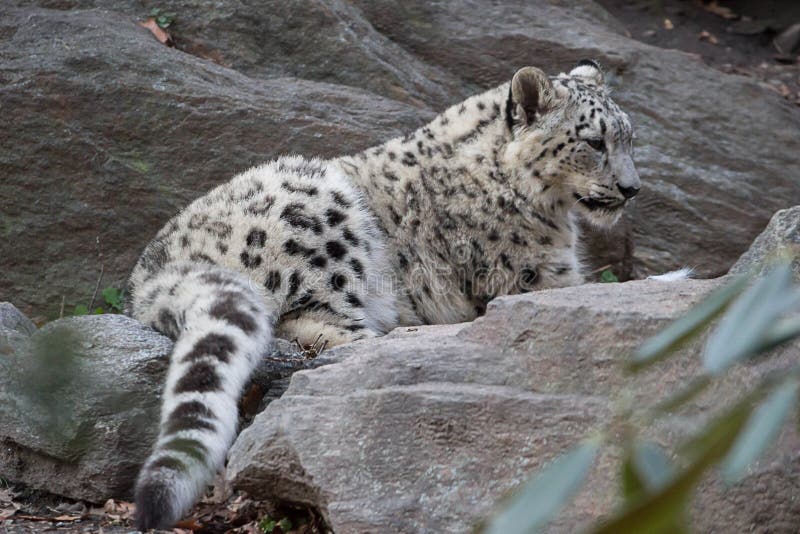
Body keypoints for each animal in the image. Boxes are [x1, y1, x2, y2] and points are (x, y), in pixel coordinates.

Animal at [127, 60, 639, 530]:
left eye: (629, 137)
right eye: (594, 142)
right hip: (321, 220)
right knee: (318, 326)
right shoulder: (540, 278)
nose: (632, 188)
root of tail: (152, 271)